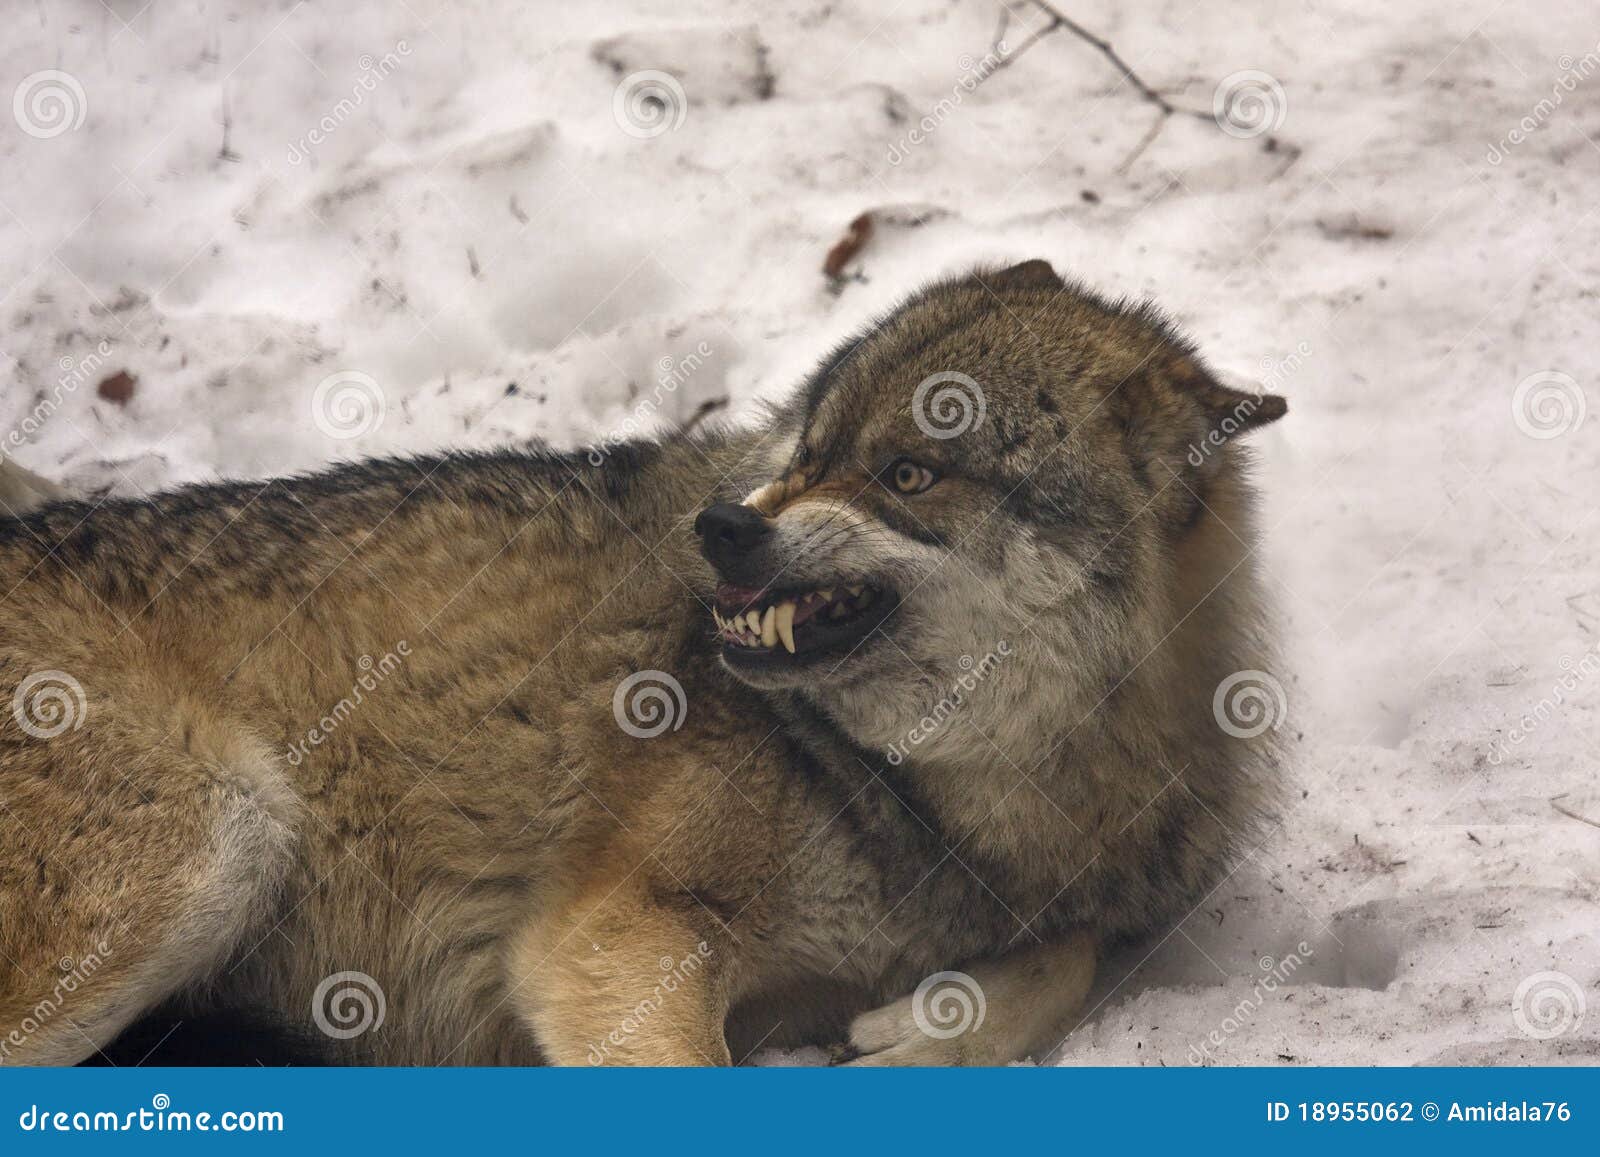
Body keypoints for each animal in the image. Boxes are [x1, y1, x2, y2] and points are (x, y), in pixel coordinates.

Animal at [0, 261, 1285, 1065]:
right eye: (808, 450)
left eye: (909, 472)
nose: (721, 526)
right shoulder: (613, 930)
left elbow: (1063, 953)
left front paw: (924, 1026)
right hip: (217, 835)